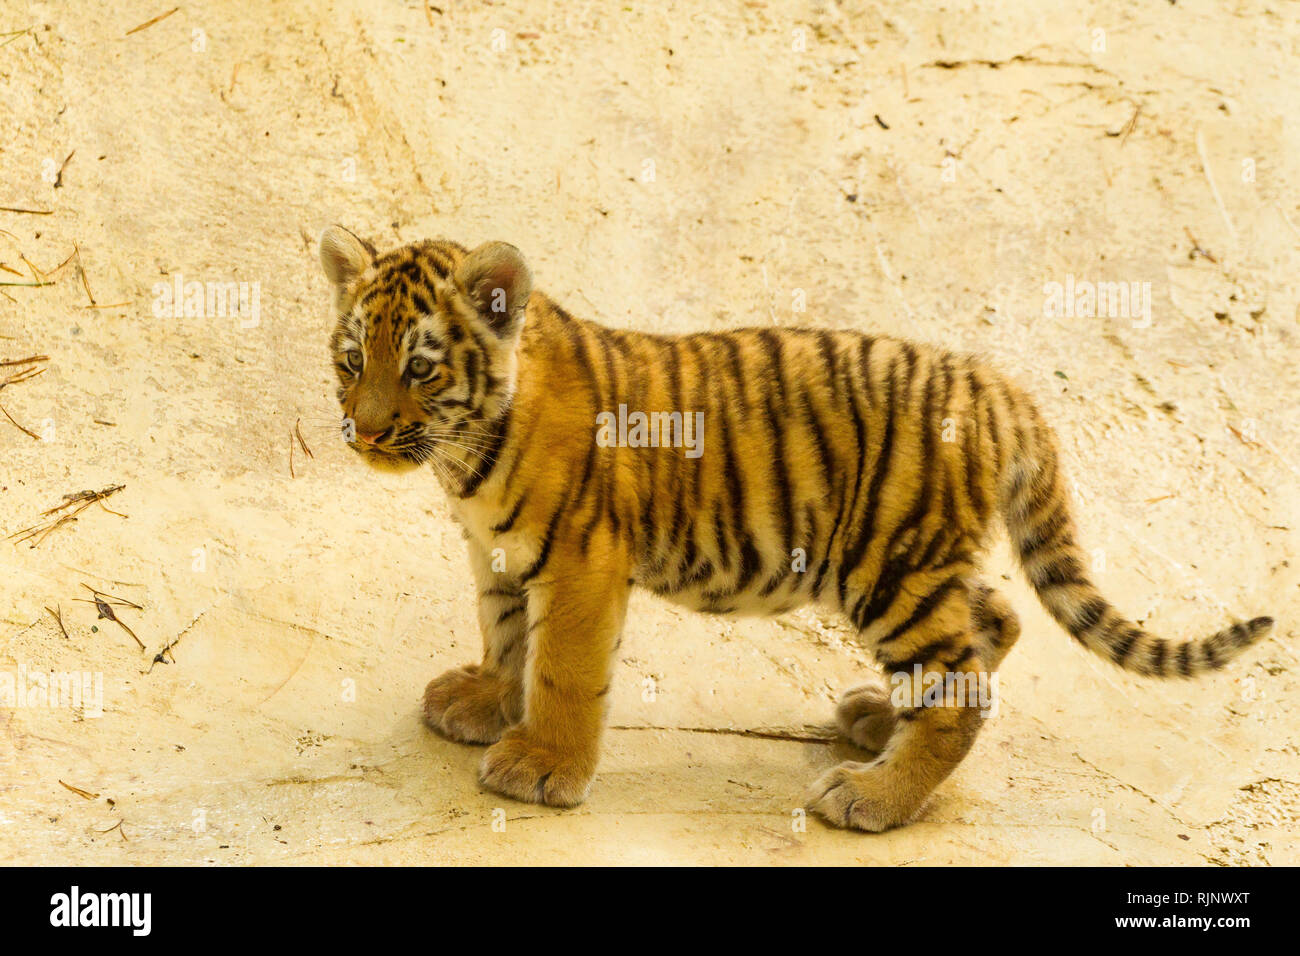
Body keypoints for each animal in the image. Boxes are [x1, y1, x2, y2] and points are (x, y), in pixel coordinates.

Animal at [317, 225, 1275, 832]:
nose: (364, 432)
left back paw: (873, 800)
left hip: (887, 563)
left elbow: (561, 670)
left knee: (963, 683)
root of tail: (998, 388)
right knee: (994, 619)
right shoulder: (501, 551)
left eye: (420, 369)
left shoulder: (582, 563)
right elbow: (505, 633)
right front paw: (482, 701)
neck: (467, 450)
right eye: (353, 359)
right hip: (924, 561)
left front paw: (543, 765)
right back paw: (880, 723)